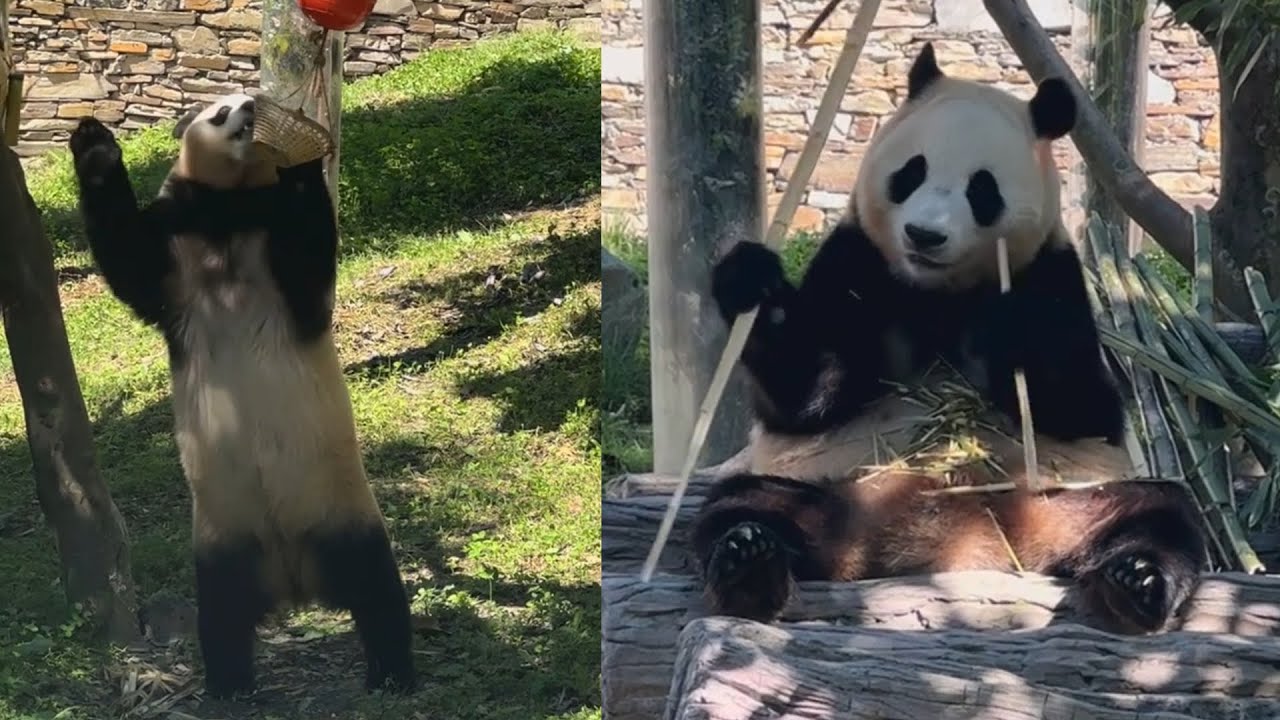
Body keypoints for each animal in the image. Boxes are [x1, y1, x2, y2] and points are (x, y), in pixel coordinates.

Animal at [68, 94, 417, 697]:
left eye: (246, 97)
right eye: (219, 110)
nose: (251, 108)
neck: (229, 208)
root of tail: (294, 581)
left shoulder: (279, 260)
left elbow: (309, 269)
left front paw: (300, 154)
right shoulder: (177, 251)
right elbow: (131, 265)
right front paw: (94, 145)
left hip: (342, 511)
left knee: (376, 589)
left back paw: (392, 674)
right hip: (222, 539)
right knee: (223, 615)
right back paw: (229, 684)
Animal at [692, 43, 1207, 634]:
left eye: (981, 189)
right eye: (910, 173)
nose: (924, 235)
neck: (937, 293)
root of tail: (948, 543)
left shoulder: (1053, 273)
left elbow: (1086, 407)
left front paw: (1011, 334)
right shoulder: (856, 260)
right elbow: (807, 394)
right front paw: (752, 283)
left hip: (1067, 500)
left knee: (1159, 513)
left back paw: (1137, 583)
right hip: (830, 488)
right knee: (744, 505)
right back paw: (747, 563)